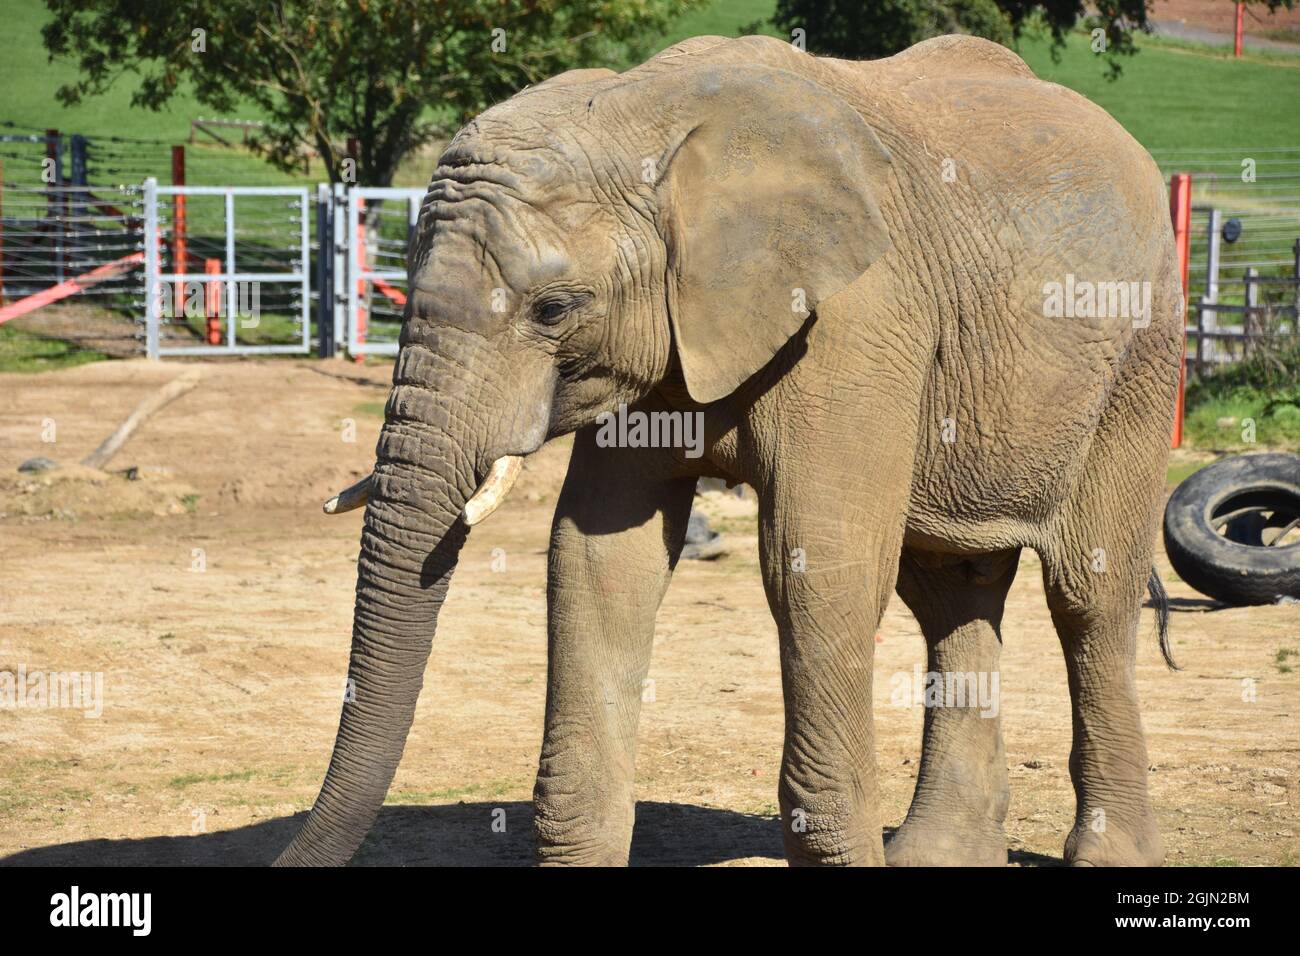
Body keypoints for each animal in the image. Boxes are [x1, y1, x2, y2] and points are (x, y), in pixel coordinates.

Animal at [275, 33, 1182, 867]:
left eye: (553, 309)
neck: (645, 115)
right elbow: (598, 558)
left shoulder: (858, 319)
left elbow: (817, 562)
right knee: (950, 589)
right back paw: (939, 853)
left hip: (1141, 351)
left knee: (1089, 595)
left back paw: (1107, 853)